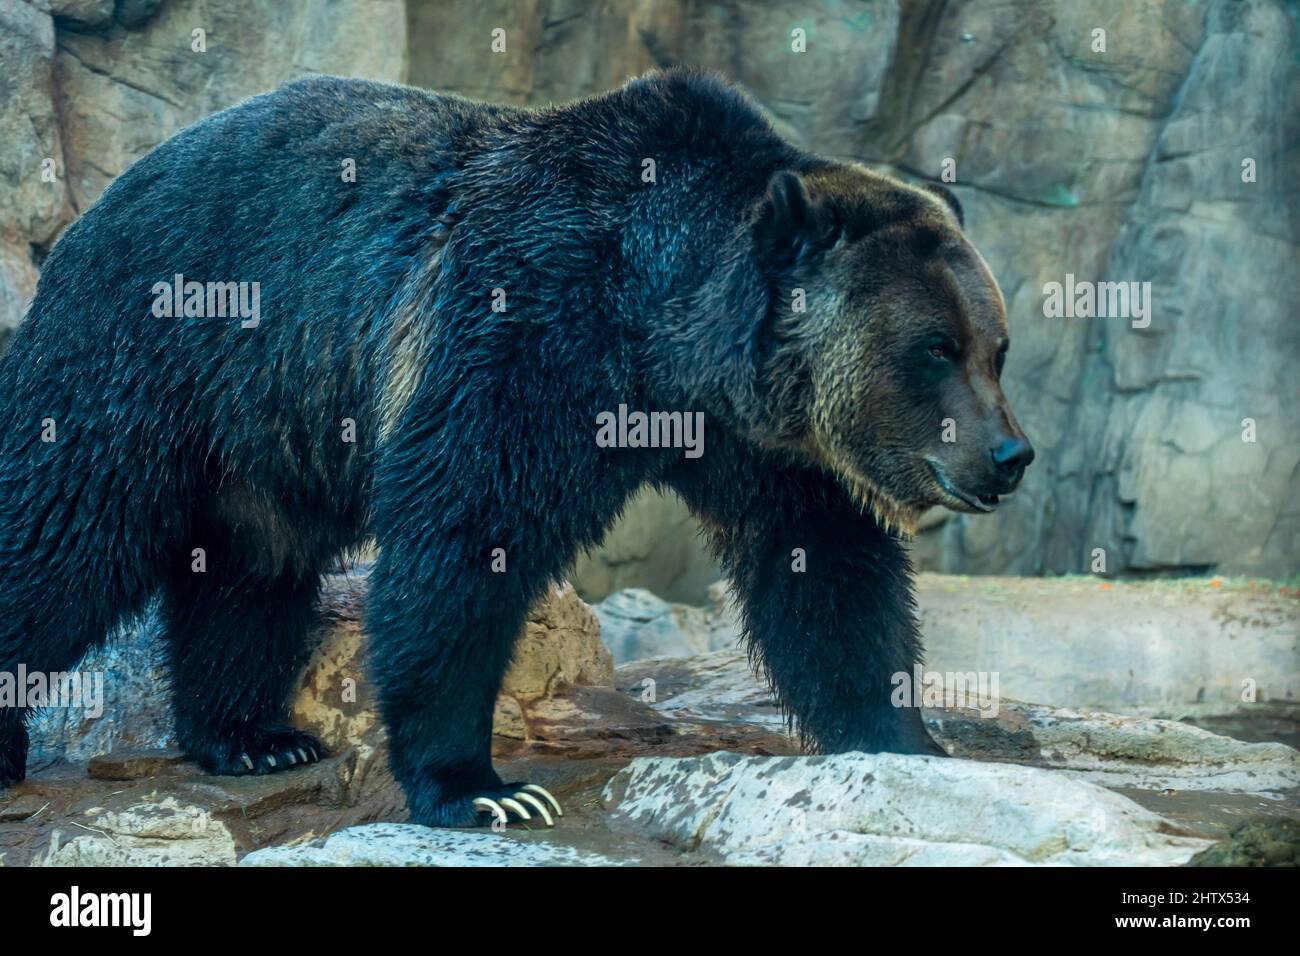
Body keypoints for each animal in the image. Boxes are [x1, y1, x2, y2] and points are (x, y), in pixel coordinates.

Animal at [0, 68, 1032, 828]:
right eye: (933, 348)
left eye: (995, 345)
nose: (1008, 457)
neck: (659, 332)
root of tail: (102, 200)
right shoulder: (527, 326)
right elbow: (465, 537)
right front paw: (484, 788)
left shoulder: (760, 432)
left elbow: (826, 566)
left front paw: (906, 736)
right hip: (161, 343)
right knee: (67, 527)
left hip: (260, 429)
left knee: (251, 568)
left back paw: (253, 734)